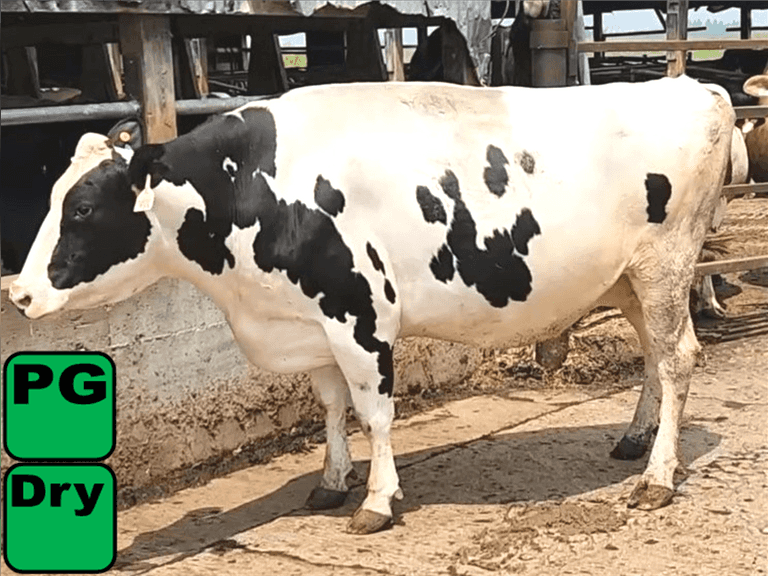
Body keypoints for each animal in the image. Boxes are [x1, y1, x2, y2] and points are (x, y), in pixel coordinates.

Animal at [10, 77, 735, 534]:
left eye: (82, 208)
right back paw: (635, 439)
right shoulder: (308, 320)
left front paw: (378, 501)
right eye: (51, 197)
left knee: (678, 358)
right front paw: (331, 483)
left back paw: (658, 477)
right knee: (653, 355)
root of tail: (693, 86)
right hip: (630, 279)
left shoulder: (359, 316)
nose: (18, 293)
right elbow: (332, 407)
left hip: (666, 265)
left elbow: (375, 413)